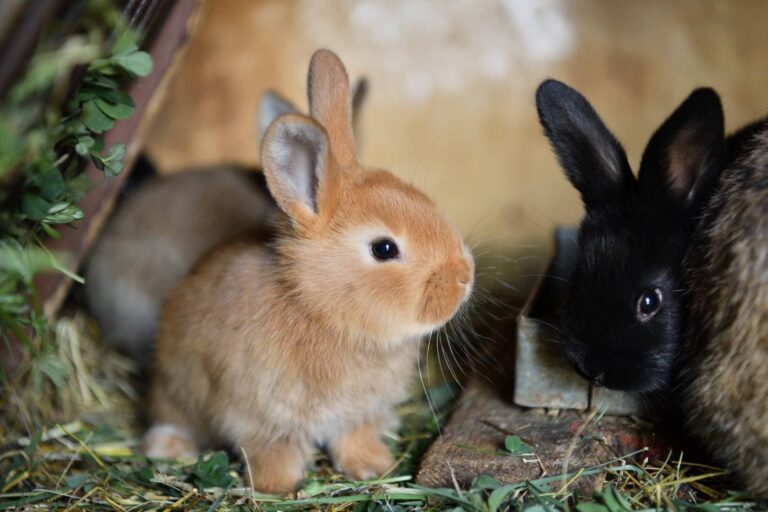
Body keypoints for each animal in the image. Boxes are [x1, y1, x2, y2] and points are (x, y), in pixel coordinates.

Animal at [142, 49, 475, 493]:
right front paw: (277, 488)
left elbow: (354, 439)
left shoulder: (357, 416)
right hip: (173, 384)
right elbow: (274, 453)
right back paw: (167, 447)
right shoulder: (262, 418)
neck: (320, 310)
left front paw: (374, 467)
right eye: (384, 248)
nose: (464, 277)